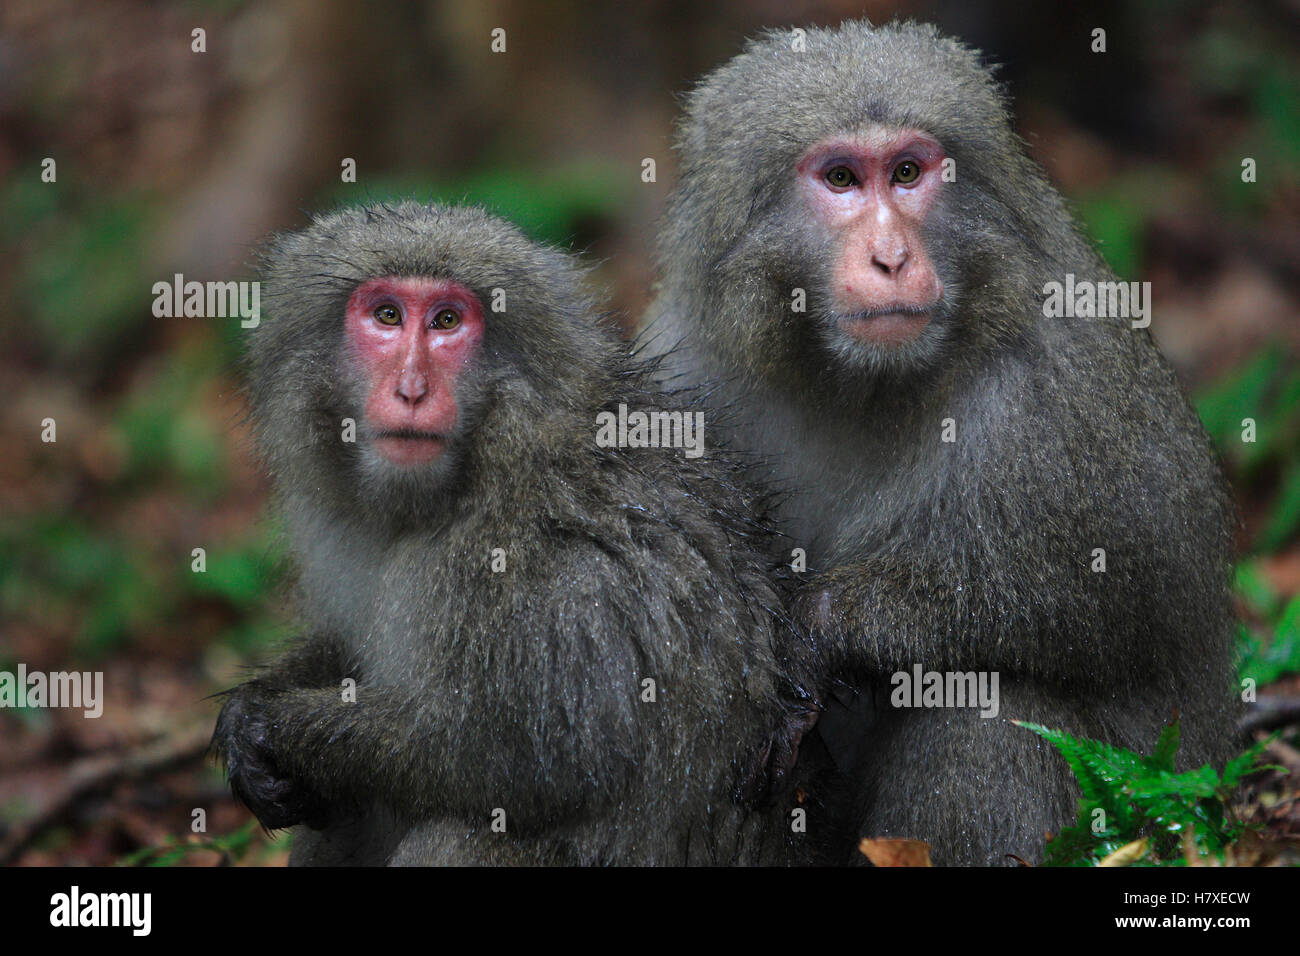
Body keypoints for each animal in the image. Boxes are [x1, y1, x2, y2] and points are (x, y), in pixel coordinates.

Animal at [210, 201, 823, 866]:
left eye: (448, 320)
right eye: (388, 315)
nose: (411, 389)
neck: (484, 463)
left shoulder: (547, 573)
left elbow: (515, 761)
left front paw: (277, 728)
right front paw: (249, 711)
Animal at [639, 20, 1238, 865]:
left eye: (908, 172)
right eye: (841, 178)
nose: (892, 257)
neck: (856, 383)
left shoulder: (1062, 379)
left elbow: (1117, 601)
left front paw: (823, 629)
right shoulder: (688, 366)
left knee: (982, 706)